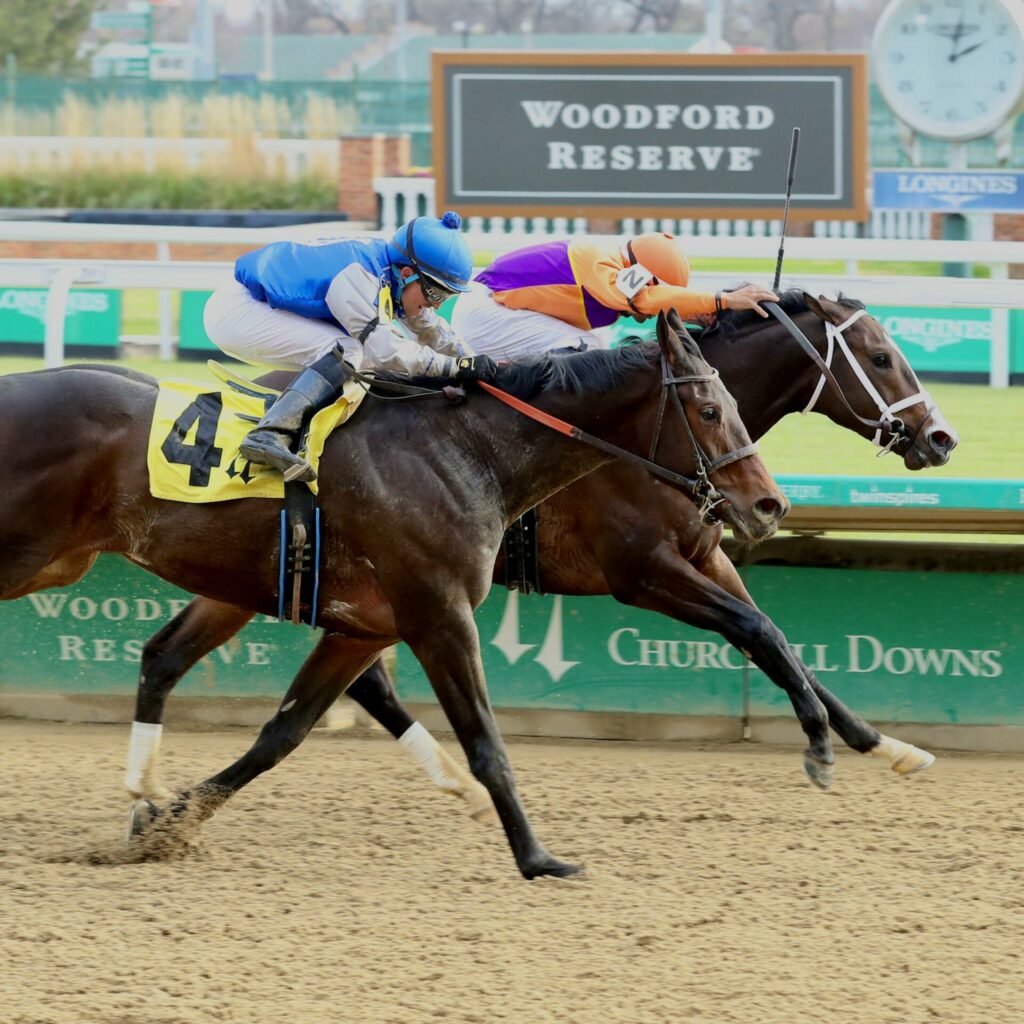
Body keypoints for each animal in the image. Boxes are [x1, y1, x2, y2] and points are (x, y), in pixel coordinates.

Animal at [0, 312, 784, 879]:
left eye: (732, 402)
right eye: (709, 410)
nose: (768, 505)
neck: (468, 451)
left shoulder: (366, 626)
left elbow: (282, 732)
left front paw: (164, 823)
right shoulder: (442, 614)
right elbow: (486, 742)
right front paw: (538, 858)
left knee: (162, 657)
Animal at [125, 291, 957, 822]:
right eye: (883, 356)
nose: (942, 436)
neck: (638, 440)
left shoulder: (706, 556)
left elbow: (782, 644)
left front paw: (883, 744)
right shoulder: (641, 572)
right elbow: (758, 633)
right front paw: (820, 746)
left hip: (268, 576)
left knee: (197, 657)